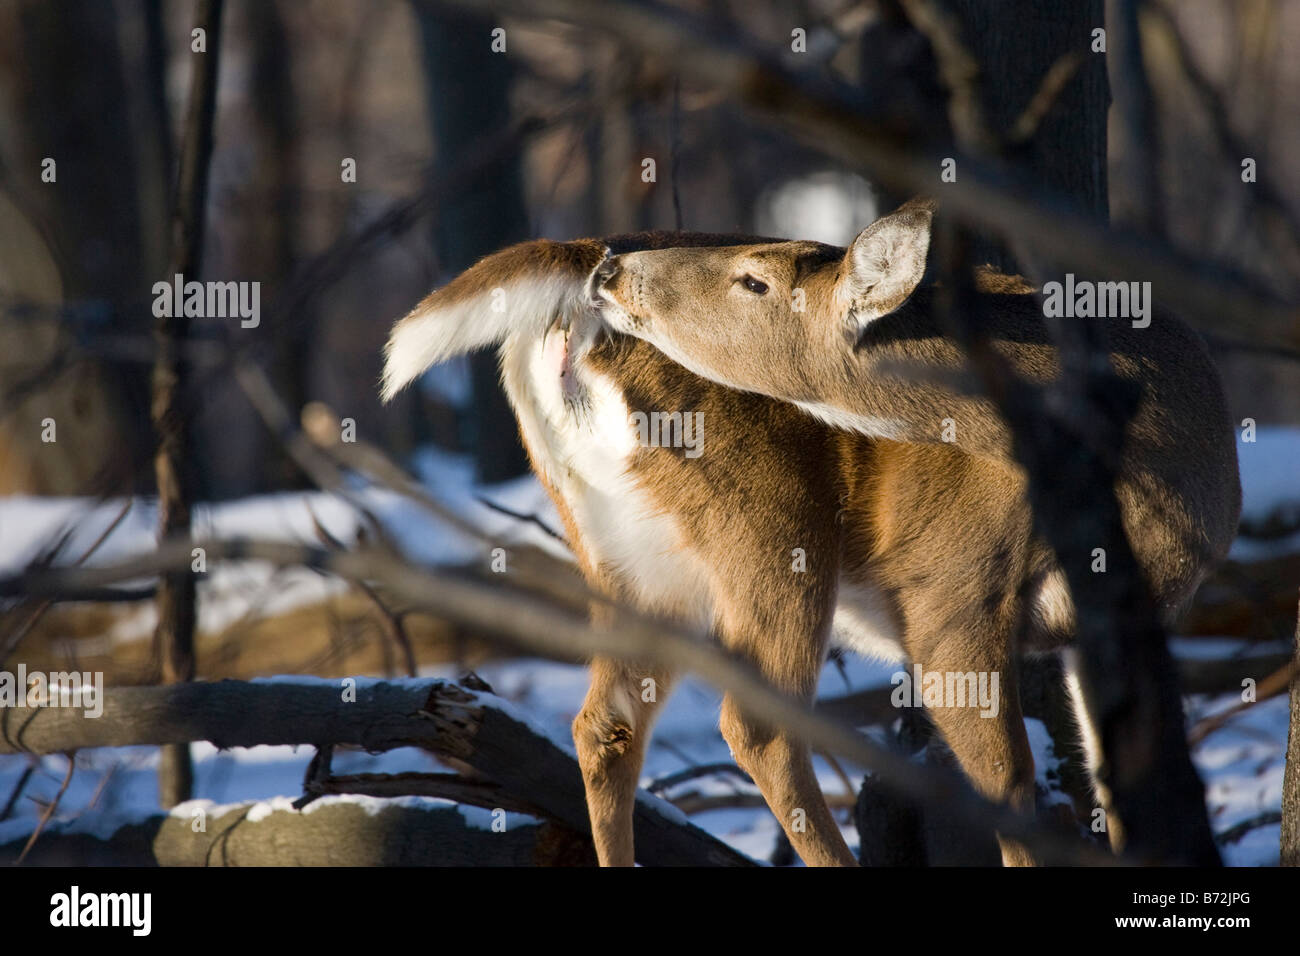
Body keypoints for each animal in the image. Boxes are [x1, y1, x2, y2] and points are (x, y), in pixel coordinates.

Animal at [379, 199, 1241, 867]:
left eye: (755, 280)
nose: (615, 273)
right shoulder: (952, 585)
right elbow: (1009, 787)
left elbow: (1119, 783)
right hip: (769, 526)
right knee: (757, 725)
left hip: (627, 553)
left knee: (607, 725)